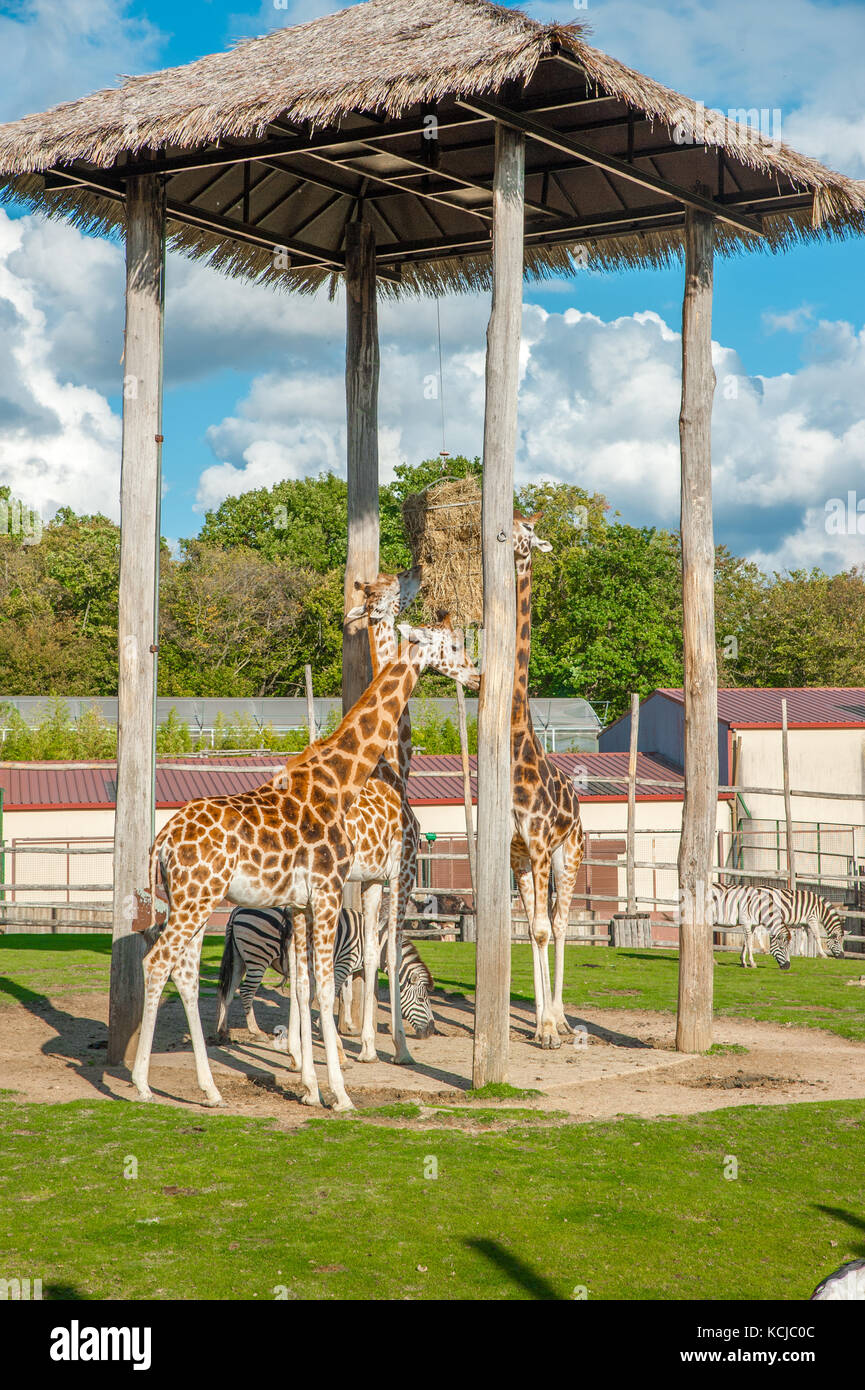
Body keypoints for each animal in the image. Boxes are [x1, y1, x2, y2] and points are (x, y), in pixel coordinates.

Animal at [131, 616, 480, 1111]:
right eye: (451, 645)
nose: (476, 676)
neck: (338, 782)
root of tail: (161, 841)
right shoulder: (335, 889)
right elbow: (329, 984)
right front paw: (342, 1093)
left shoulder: (300, 902)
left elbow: (302, 983)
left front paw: (312, 1088)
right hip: (197, 899)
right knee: (158, 962)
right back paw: (141, 1085)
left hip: (191, 901)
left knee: (186, 972)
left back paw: (210, 1090)